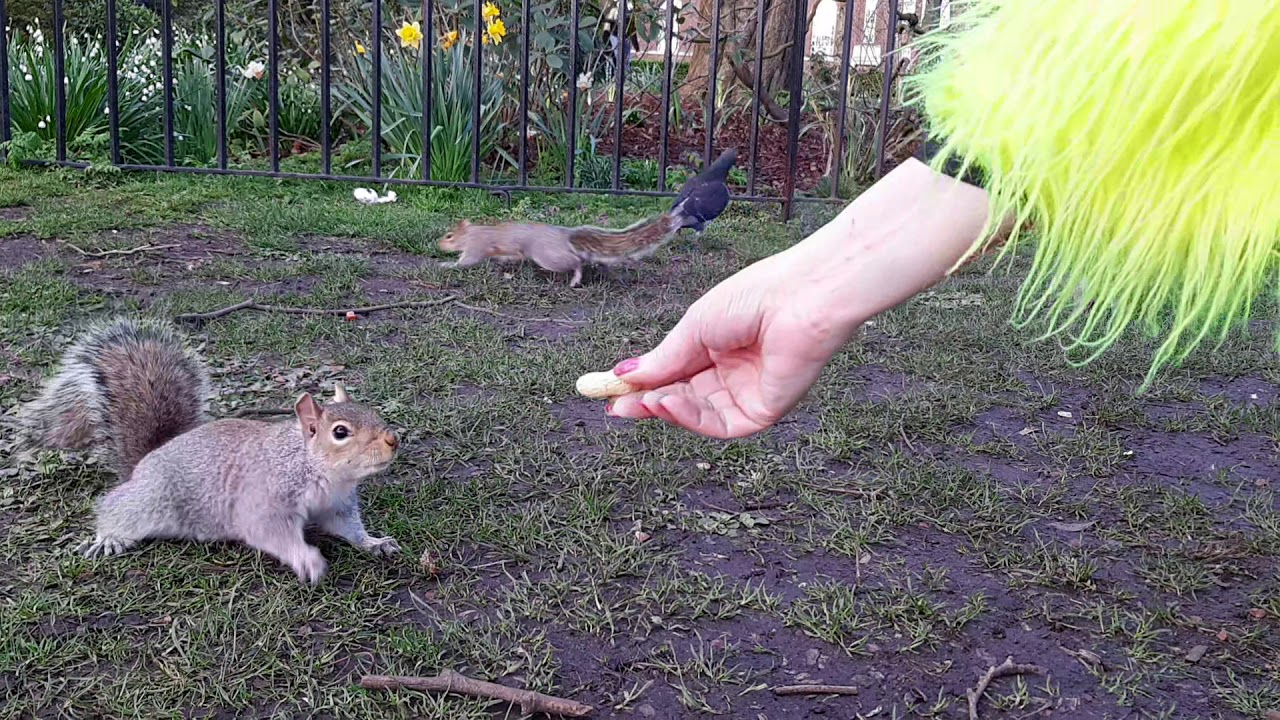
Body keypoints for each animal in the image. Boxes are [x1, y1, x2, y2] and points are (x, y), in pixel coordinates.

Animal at [18, 316, 402, 585]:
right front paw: (307, 559)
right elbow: (269, 533)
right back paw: (110, 537)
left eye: (371, 411)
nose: (392, 439)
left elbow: (349, 528)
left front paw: (375, 542)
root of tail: (145, 462)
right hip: (151, 500)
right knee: (116, 507)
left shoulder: (337, 506)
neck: (319, 470)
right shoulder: (265, 500)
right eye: (340, 432)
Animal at [436, 204, 687, 287]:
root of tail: (564, 235)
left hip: (548, 258)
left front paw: (446, 265)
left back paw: (576, 279)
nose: (438, 244)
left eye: (449, 236)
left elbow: (466, 262)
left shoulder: (476, 247)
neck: (473, 233)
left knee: (576, 262)